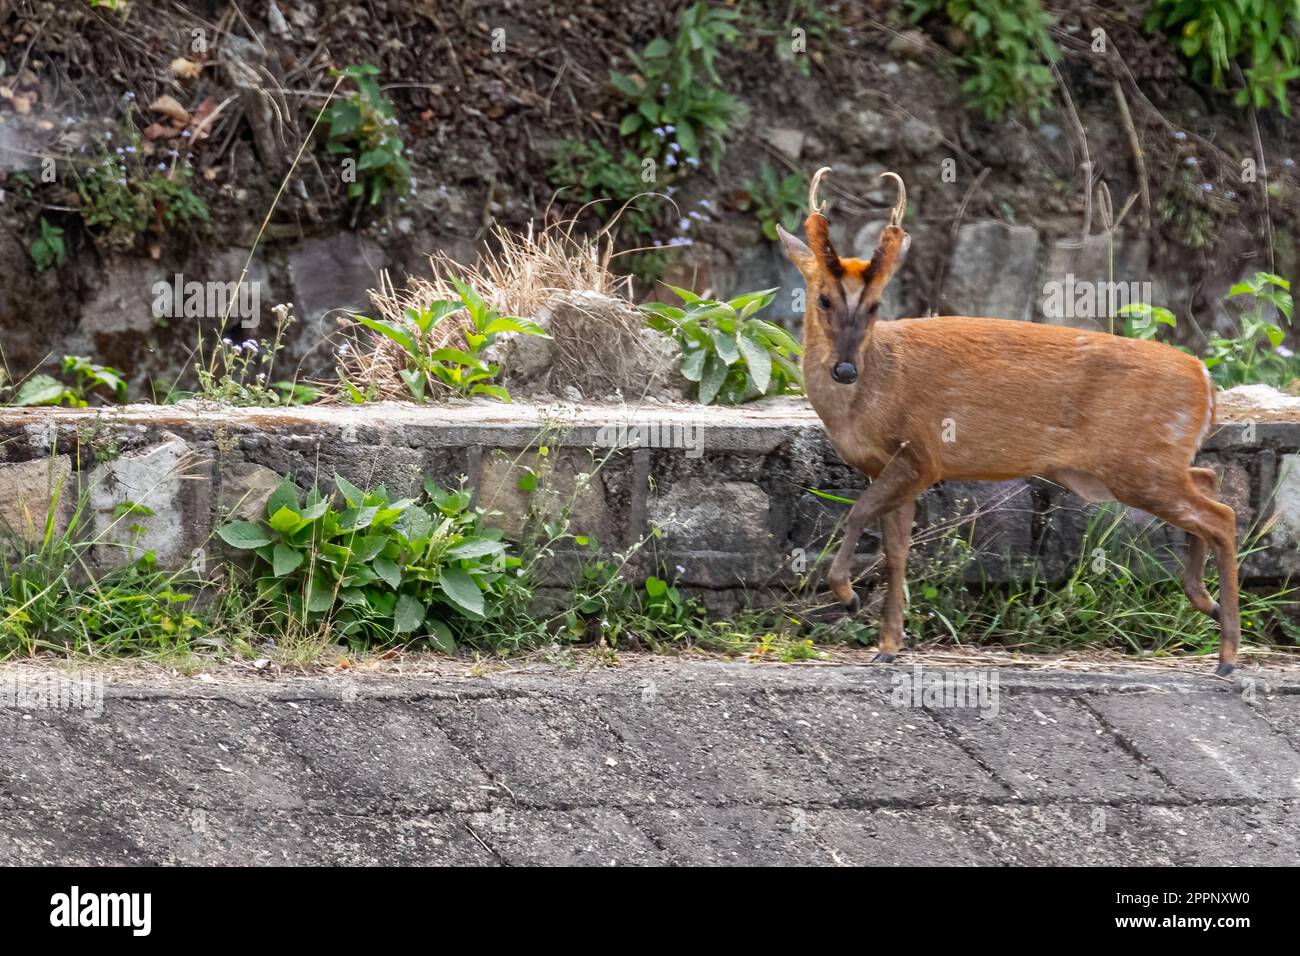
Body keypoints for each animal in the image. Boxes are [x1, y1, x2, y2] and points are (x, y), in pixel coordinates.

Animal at [776, 168, 1241, 677]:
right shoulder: (889, 466)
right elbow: (896, 550)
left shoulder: (921, 454)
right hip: (1144, 464)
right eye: (822, 299)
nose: (844, 370)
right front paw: (888, 645)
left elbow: (859, 513)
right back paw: (1207, 605)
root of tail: (1204, 377)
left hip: (1139, 464)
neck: (869, 392)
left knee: (1222, 515)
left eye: (877, 305)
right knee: (1208, 480)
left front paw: (848, 597)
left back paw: (1227, 654)